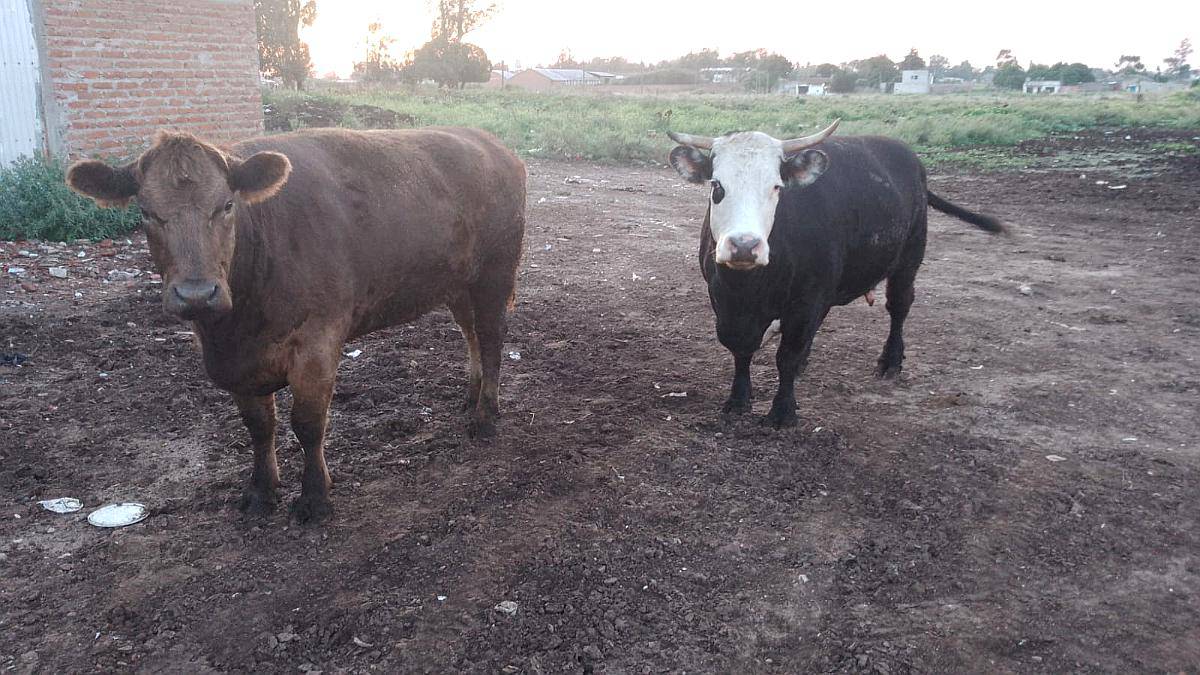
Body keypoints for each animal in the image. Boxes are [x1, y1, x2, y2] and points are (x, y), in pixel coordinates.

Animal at [67, 127, 526, 522]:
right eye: (146, 213)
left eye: (227, 205)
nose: (197, 294)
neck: (235, 329)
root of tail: (491, 142)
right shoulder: (240, 364)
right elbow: (258, 426)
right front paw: (261, 491)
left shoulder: (317, 342)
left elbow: (307, 424)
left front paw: (315, 497)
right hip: (458, 284)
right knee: (470, 333)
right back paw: (471, 395)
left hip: (496, 272)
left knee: (491, 337)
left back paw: (486, 415)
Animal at [667, 120, 1004, 428]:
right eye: (717, 185)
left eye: (776, 187)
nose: (744, 245)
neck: (748, 288)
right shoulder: (723, 300)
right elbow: (741, 347)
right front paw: (738, 400)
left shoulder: (807, 300)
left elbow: (787, 356)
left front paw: (782, 412)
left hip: (909, 258)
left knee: (899, 307)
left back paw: (890, 361)